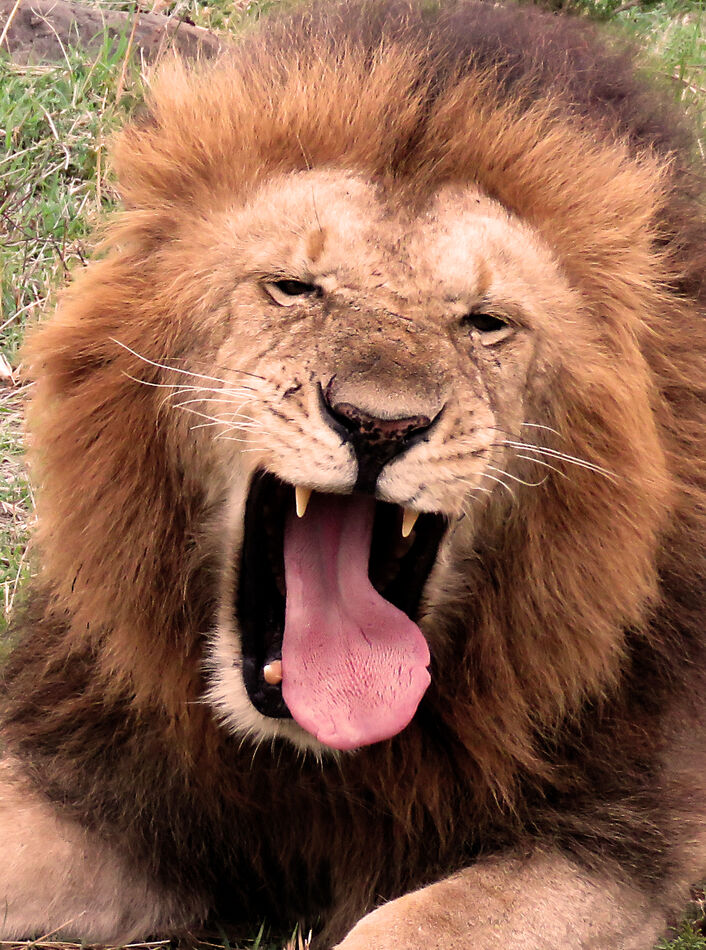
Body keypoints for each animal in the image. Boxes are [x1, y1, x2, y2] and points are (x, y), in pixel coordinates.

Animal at [1, 1, 705, 947]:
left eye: (486, 323)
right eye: (294, 288)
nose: (379, 425)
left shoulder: (608, 843)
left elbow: (410, 928)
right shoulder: (96, 775)